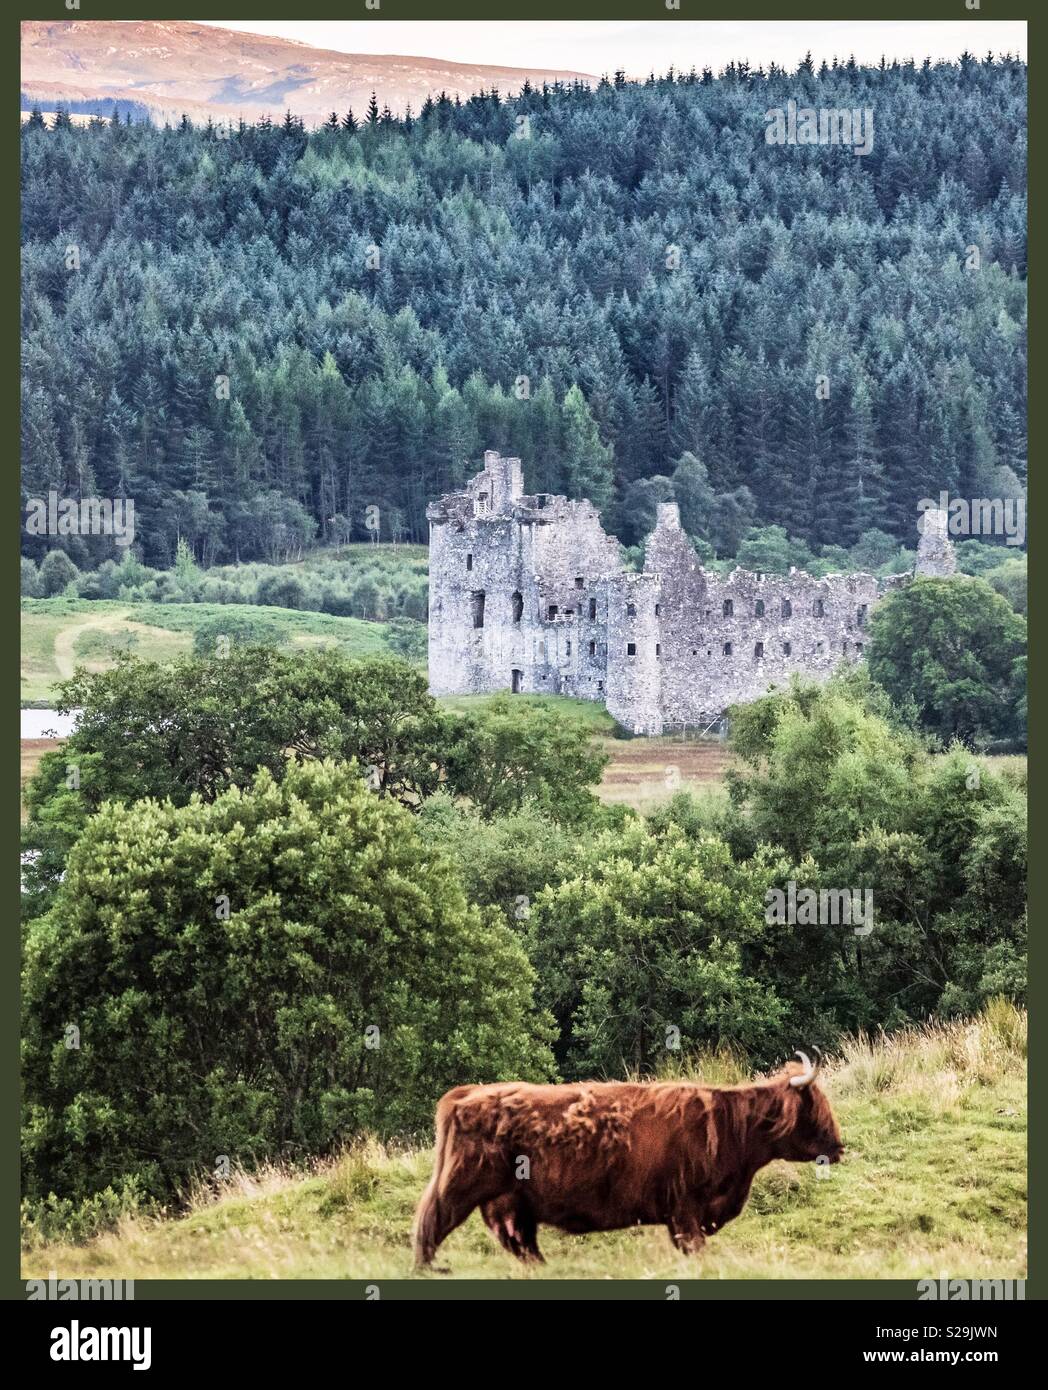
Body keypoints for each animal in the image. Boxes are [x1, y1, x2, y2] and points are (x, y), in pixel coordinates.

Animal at [412, 1050, 842, 1266]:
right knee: (430, 1222)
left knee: (521, 1244)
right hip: (460, 1185)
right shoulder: (685, 1210)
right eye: (814, 1108)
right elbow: (696, 1249)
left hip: (511, 1202)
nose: (839, 1147)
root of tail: (468, 1093)